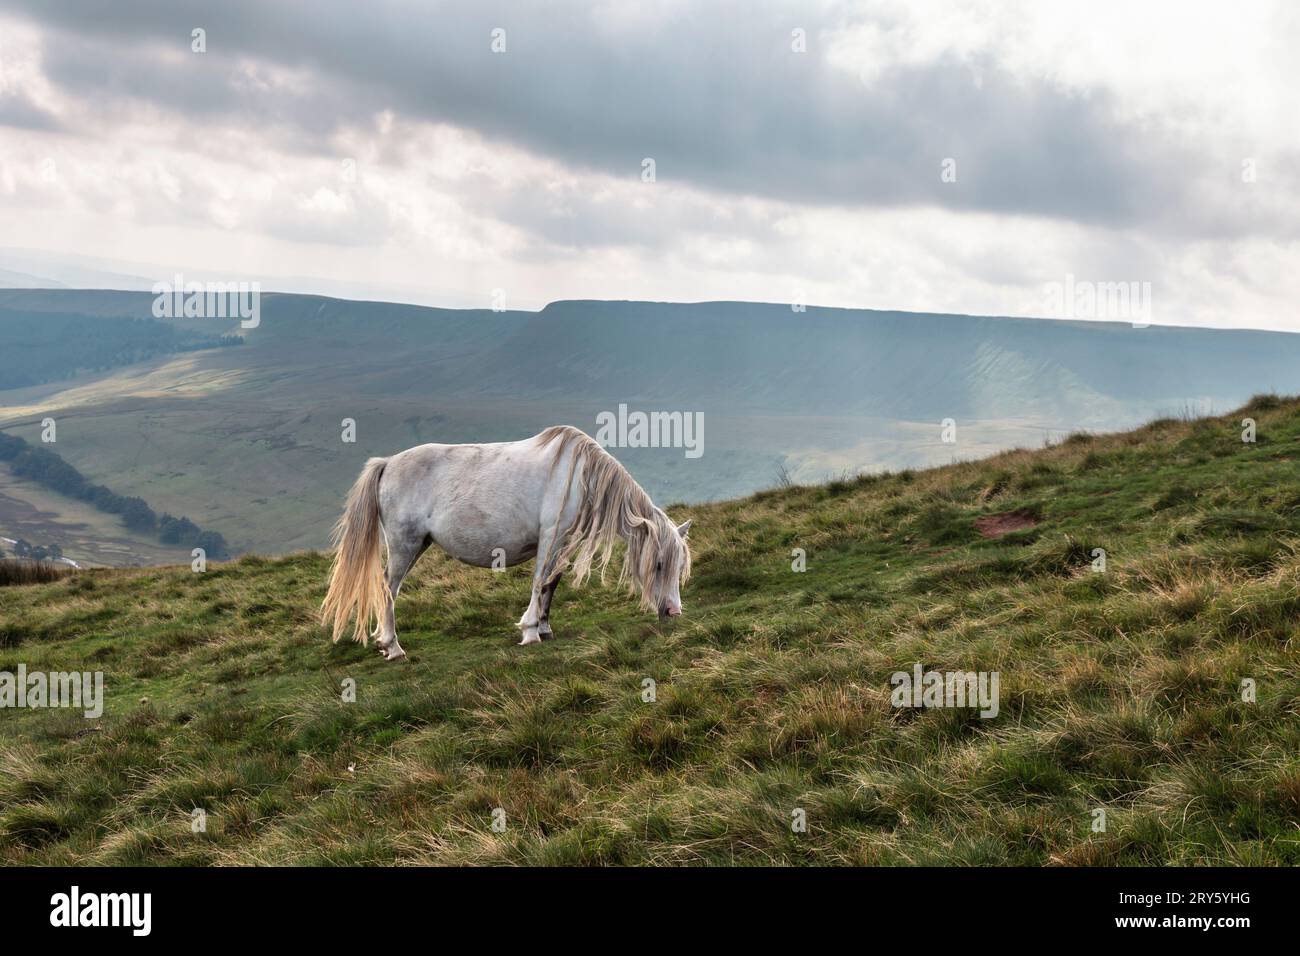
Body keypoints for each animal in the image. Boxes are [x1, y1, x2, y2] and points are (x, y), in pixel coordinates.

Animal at [321, 425, 692, 660]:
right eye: (659, 564)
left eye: (679, 568)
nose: (674, 611)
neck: (581, 477)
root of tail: (387, 464)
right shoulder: (551, 537)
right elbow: (540, 581)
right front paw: (529, 631)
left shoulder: (564, 544)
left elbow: (551, 584)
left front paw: (545, 628)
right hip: (404, 545)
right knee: (387, 588)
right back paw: (393, 647)